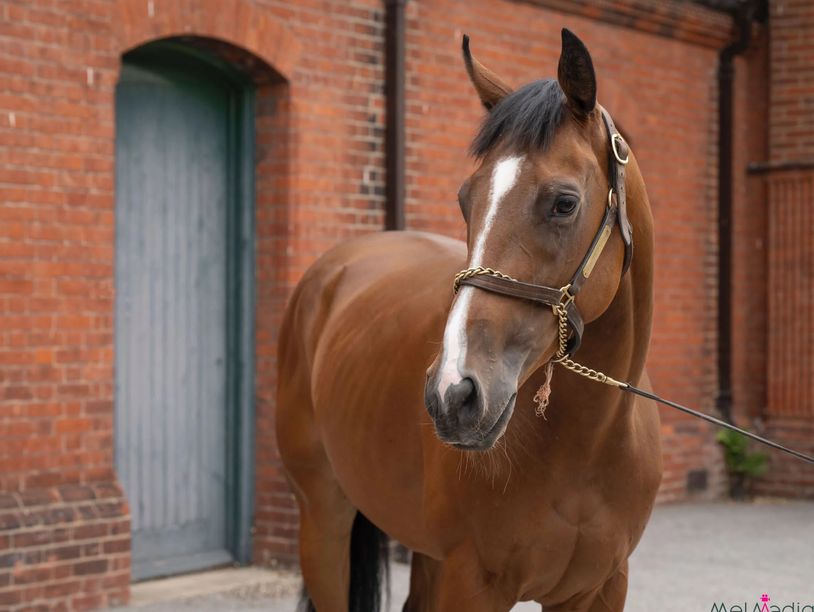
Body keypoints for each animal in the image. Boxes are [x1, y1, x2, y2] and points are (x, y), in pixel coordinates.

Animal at [276, 28, 662, 611]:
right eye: (465, 199)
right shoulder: (473, 582)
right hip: (323, 520)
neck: (587, 446)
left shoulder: (600, 587)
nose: (452, 394)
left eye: (564, 203)